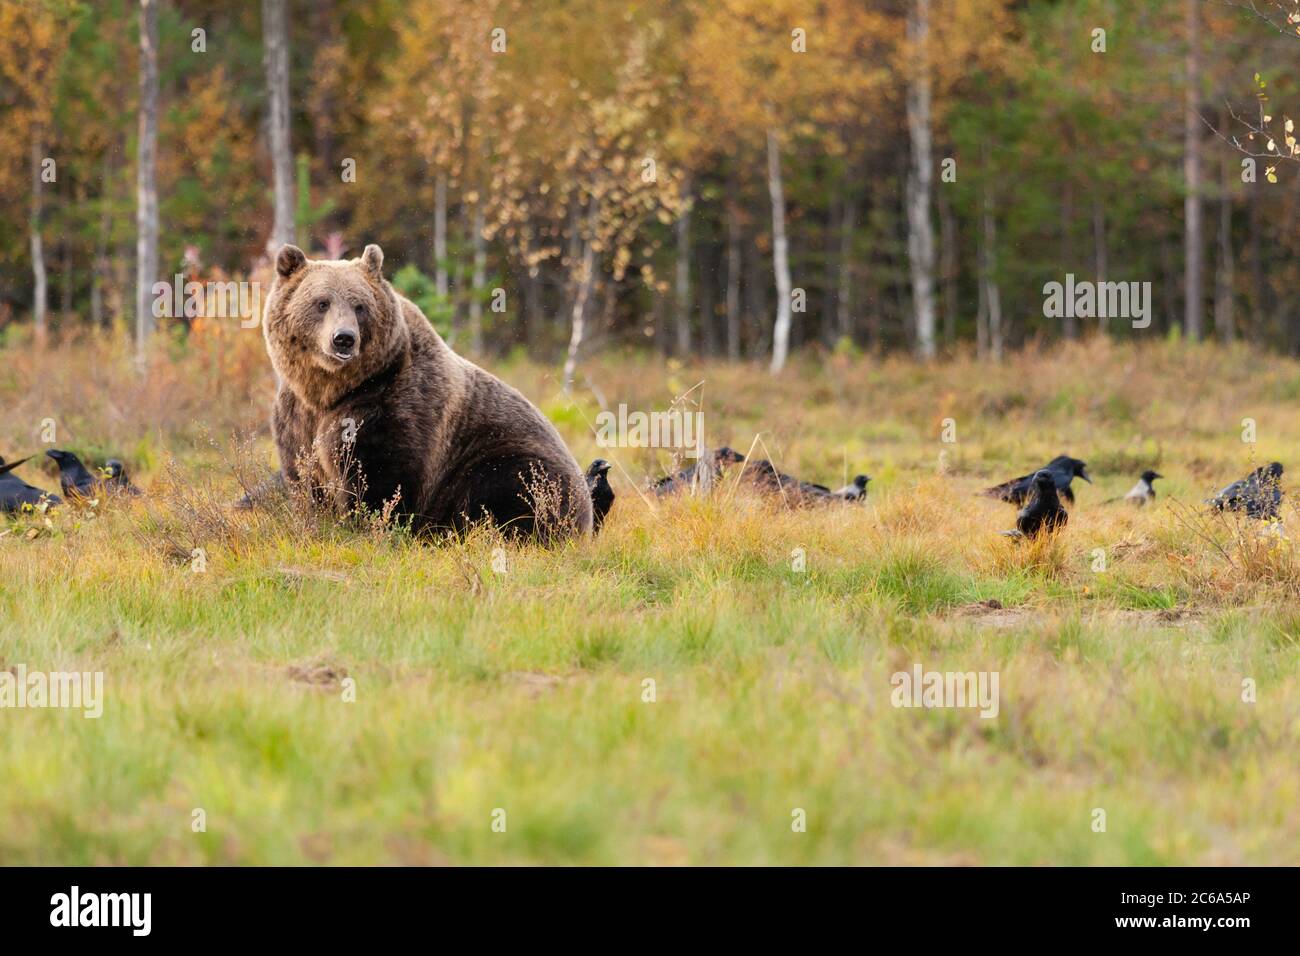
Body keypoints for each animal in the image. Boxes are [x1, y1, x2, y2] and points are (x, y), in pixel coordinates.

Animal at [261, 243, 593, 540]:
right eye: (322, 302)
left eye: (359, 306)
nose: (343, 338)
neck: (331, 390)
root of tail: (586, 518)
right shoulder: (297, 414)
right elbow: (303, 475)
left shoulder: (392, 405)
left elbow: (382, 478)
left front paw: (369, 524)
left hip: (507, 461)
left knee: (515, 487)